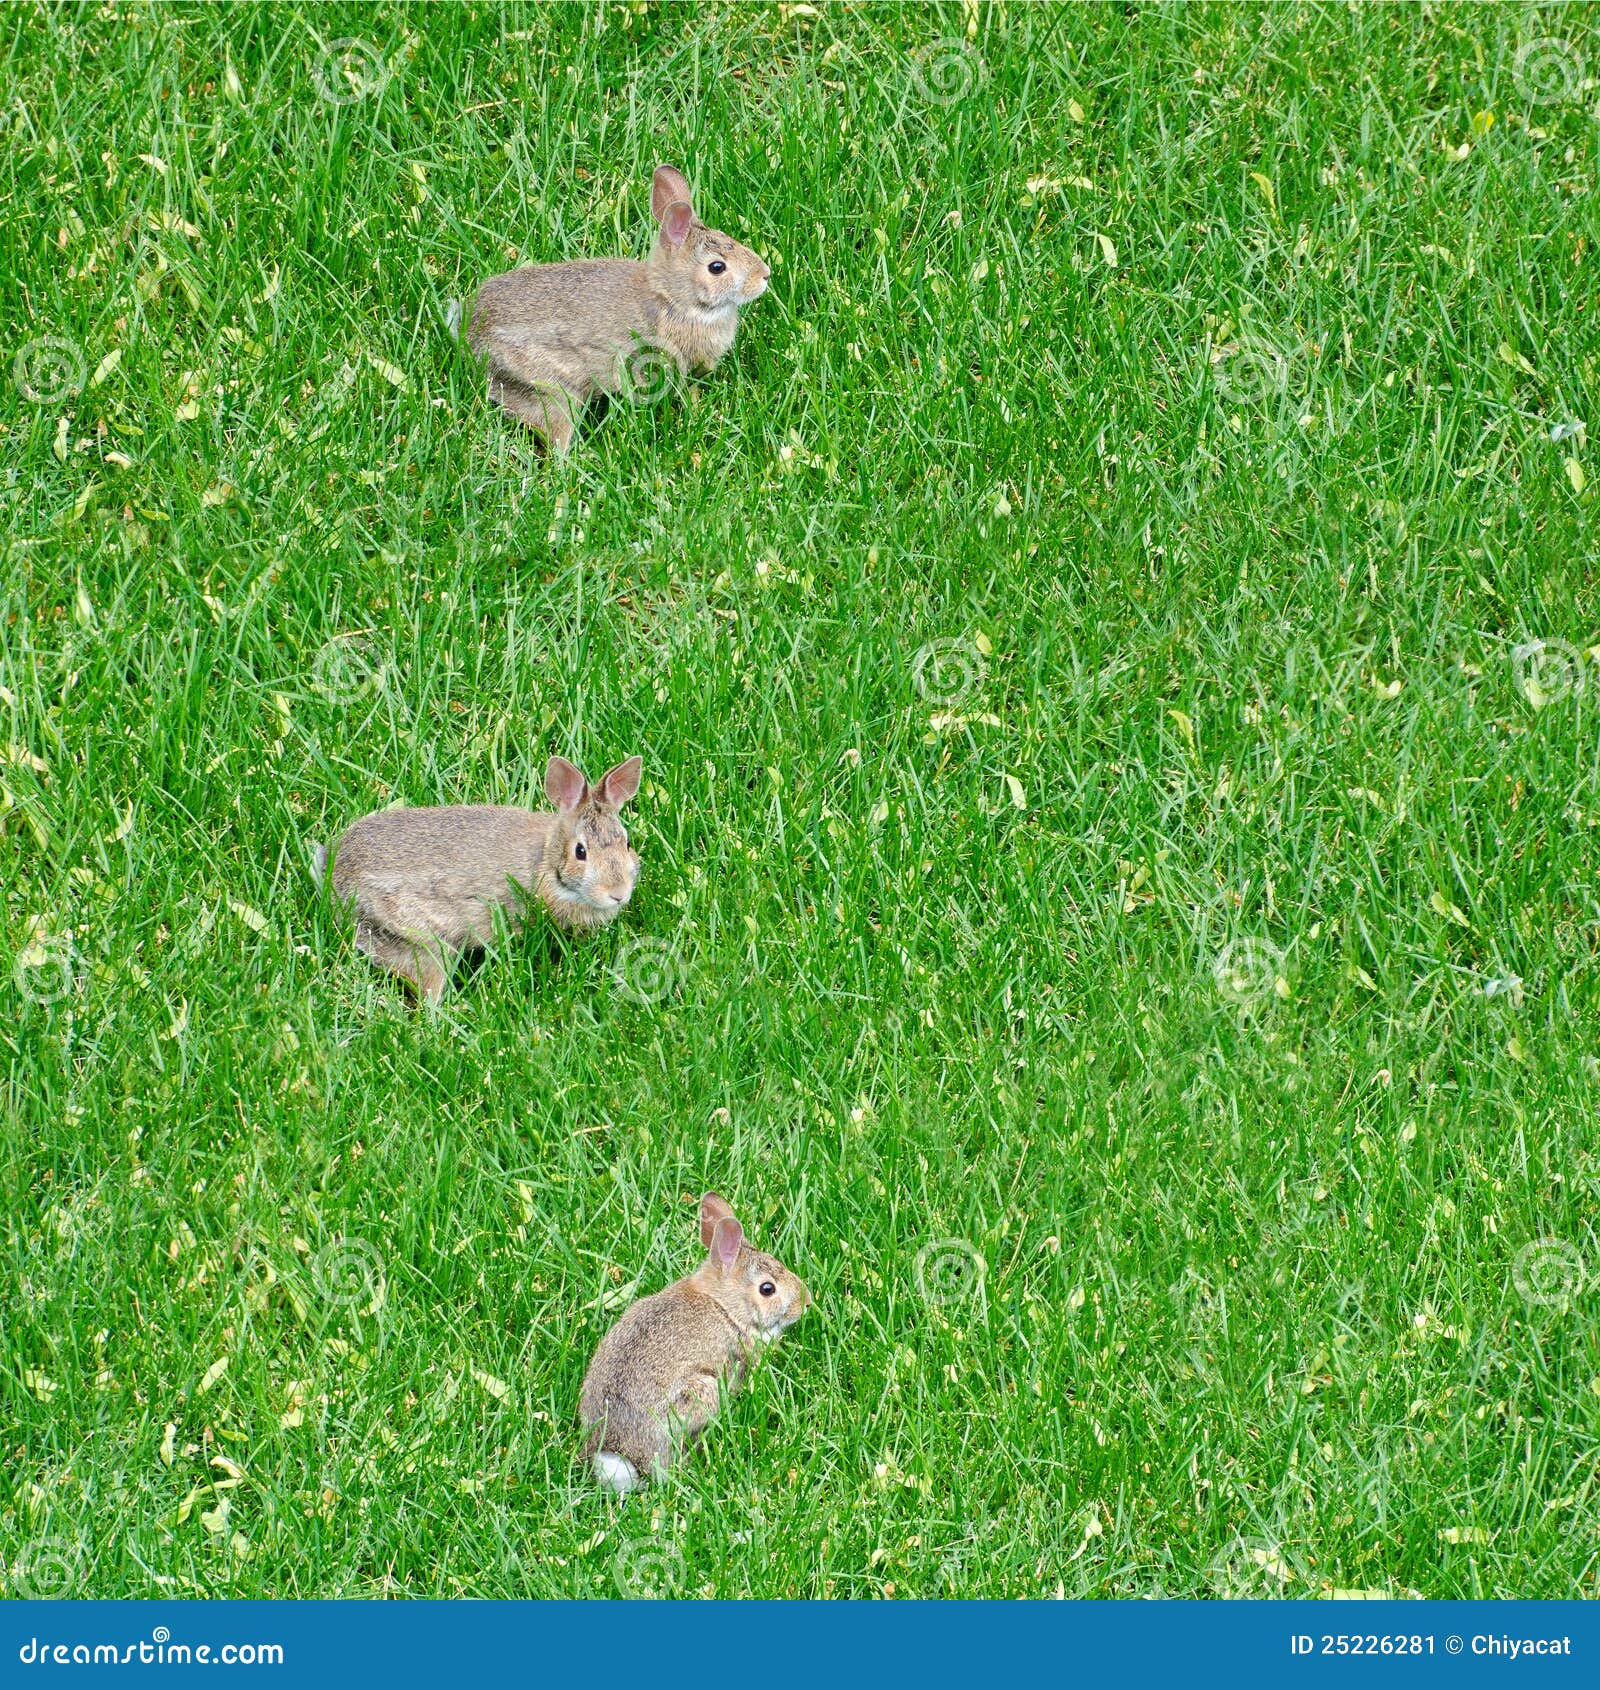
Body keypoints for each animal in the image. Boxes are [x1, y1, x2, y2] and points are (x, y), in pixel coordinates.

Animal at [312, 755, 641, 1004]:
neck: (546, 861)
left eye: (627, 844)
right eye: (580, 852)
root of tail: (334, 877)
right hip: (421, 942)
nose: (618, 894)